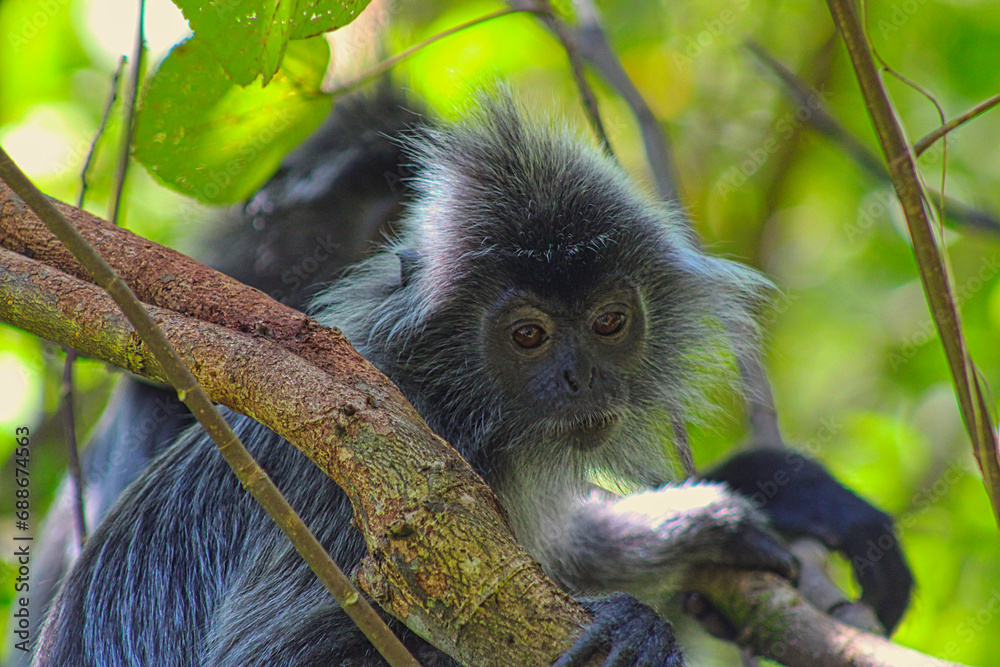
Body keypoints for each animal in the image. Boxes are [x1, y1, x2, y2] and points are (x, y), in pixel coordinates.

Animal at [27, 88, 912, 666]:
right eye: (527, 335)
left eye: (609, 322)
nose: (580, 378)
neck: (453, 402)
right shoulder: (372, 474)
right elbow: (259, 654)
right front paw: (637, 622)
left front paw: (709, 516)